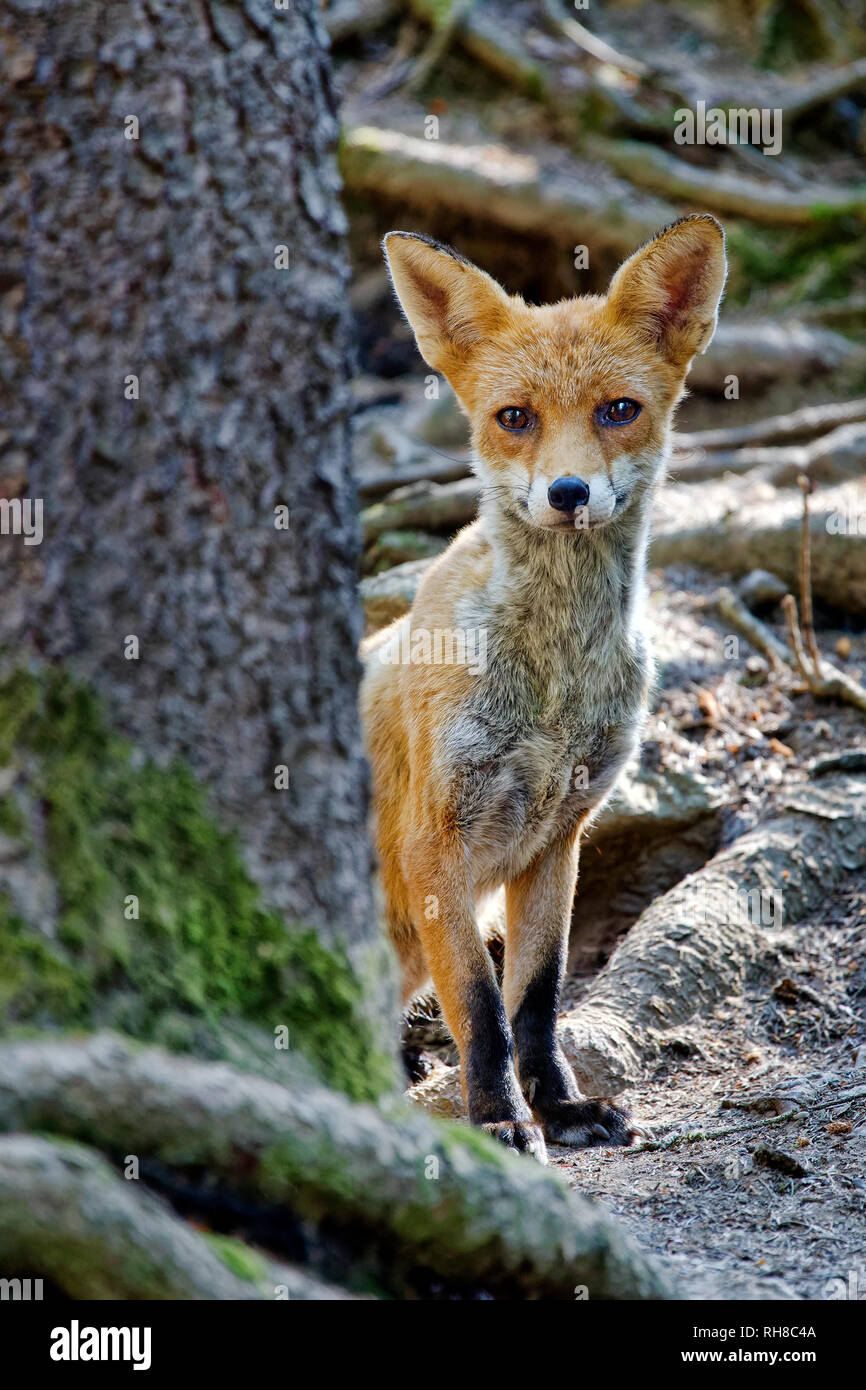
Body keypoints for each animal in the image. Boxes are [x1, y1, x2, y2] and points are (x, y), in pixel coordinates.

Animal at [361, 215, 727, 1162]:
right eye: (514, 419)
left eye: (618, 411)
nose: (568, 493)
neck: (556, 680)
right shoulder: (437, 846)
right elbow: (480, 1008)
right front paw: (497, 1119)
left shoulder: (558, 839)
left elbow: (537, 997)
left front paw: (558, 1106)